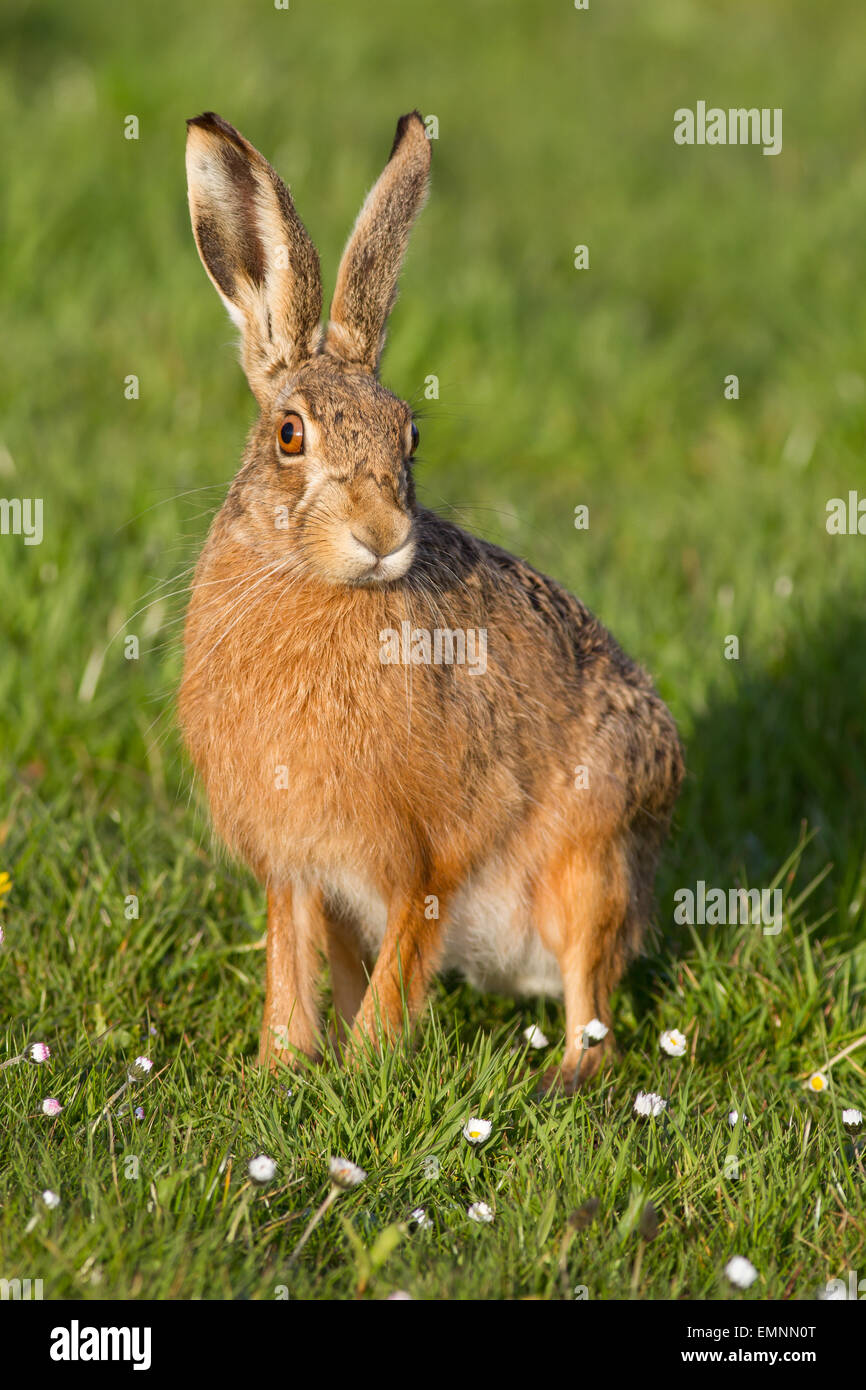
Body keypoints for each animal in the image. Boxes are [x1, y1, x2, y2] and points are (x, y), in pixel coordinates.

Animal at [179, 109, 684, 1091]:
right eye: (290, 435)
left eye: (410, 438)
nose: (382, 534)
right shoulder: (294, 866)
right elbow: (287, 963)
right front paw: (281, 1070)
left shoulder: (427, 852)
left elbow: (406, 951)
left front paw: (366, 1071)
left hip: (591, 862)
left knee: (590, 999)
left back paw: (561, 1079)